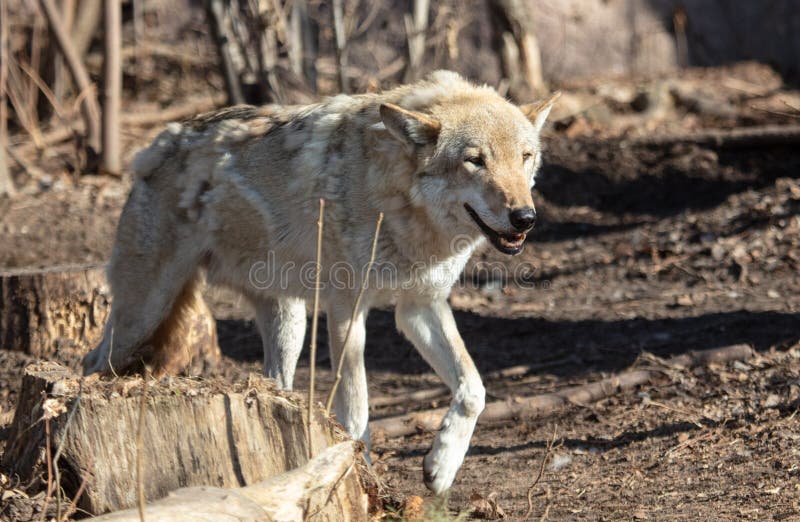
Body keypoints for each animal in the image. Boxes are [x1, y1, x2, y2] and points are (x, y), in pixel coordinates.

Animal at [82, 70, 558, 493]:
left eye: (525, 157)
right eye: (475, 160)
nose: (525, 218)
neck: (397, 200)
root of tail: (157, 144)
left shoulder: (419, 306)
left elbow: (473, 388)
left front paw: (440, 467)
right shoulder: (348, 311)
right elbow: (358, 411)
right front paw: (364, 476)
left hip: (289, 325)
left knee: (276, 385)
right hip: (142, 316)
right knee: (91, 364)